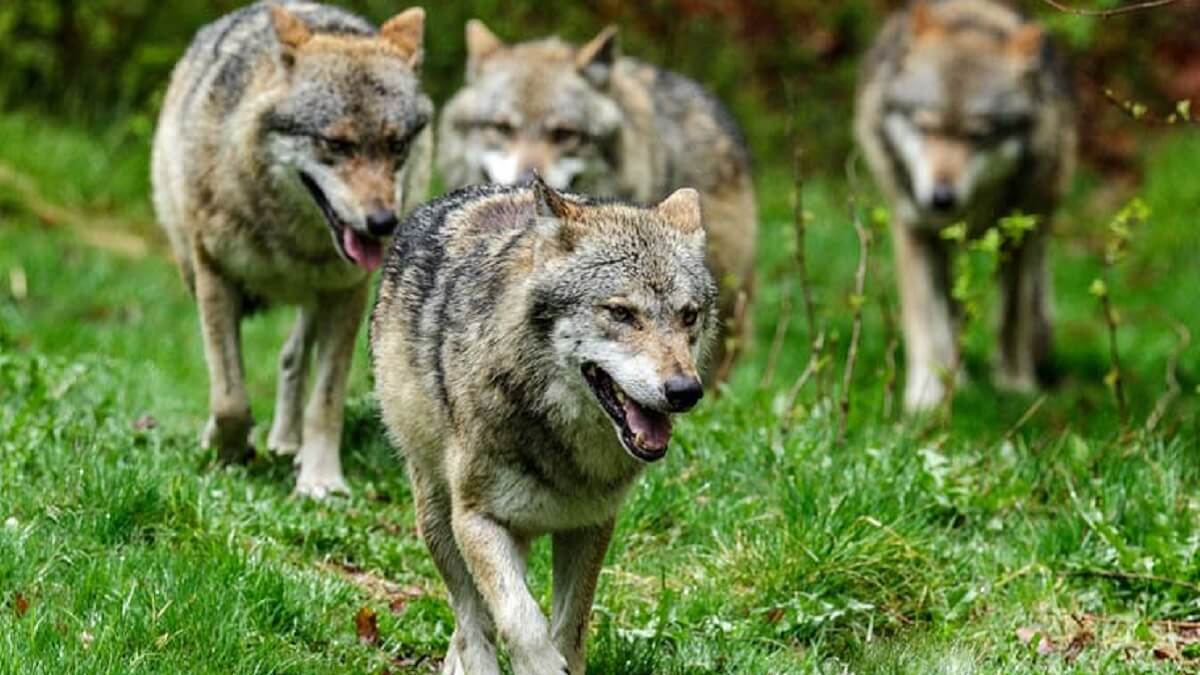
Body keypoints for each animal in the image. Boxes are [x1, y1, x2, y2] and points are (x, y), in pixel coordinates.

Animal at [151, 1, 432, 497]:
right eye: (336, 143)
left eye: (396, 145)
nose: (382, 223)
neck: (290, 239)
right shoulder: (215, 276)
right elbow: (229, 397)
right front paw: (229, 451)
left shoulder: (348, 293)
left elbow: (326, 401)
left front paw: (320, 480)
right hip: (193, 269)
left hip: (319, 300)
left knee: (291, 357)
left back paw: (287, 442)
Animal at [370, 178, 716, 675]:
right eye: (621, 313)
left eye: (689, 315)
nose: (685, 390)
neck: (559, 444)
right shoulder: (476, 519)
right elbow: (522, 622)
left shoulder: (590, 525)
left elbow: (570, 627)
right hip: (437, 516)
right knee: (473, 623)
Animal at [855, 0, 1076, 412]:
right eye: (925, 127)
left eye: (978, 136)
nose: (941, 198)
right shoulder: (913, 229)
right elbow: (926, 321)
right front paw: (925, 394)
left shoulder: (1016, 238)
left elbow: (1013, 317)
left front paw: (1015, 385)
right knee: (948, 314)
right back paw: (956, 377)